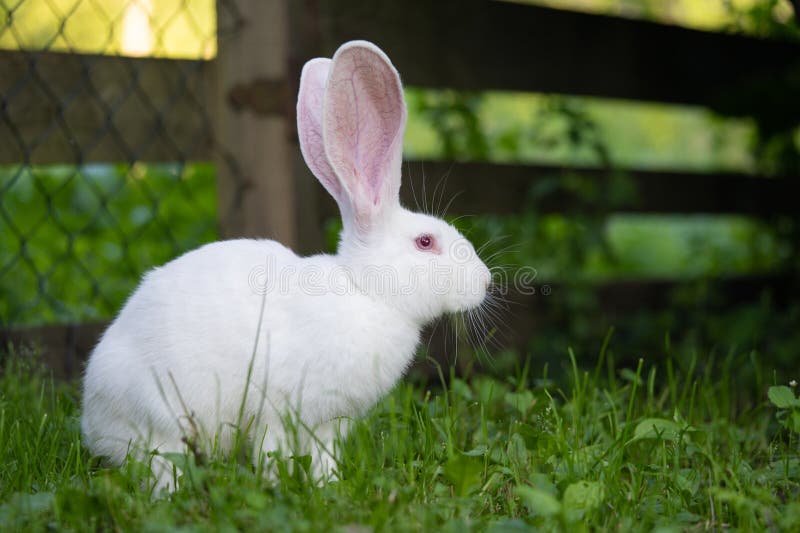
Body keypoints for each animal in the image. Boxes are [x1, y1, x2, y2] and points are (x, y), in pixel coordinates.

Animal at [81, 40, 492, 493]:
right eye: (425, 242)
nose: (486, 281)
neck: (366, 292)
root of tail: (92, 418)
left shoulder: (329, 424)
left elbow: (324, 458)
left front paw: (329, 488)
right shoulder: (277, 412)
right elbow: (272, 453)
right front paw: (280, 486)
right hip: (161, 418)